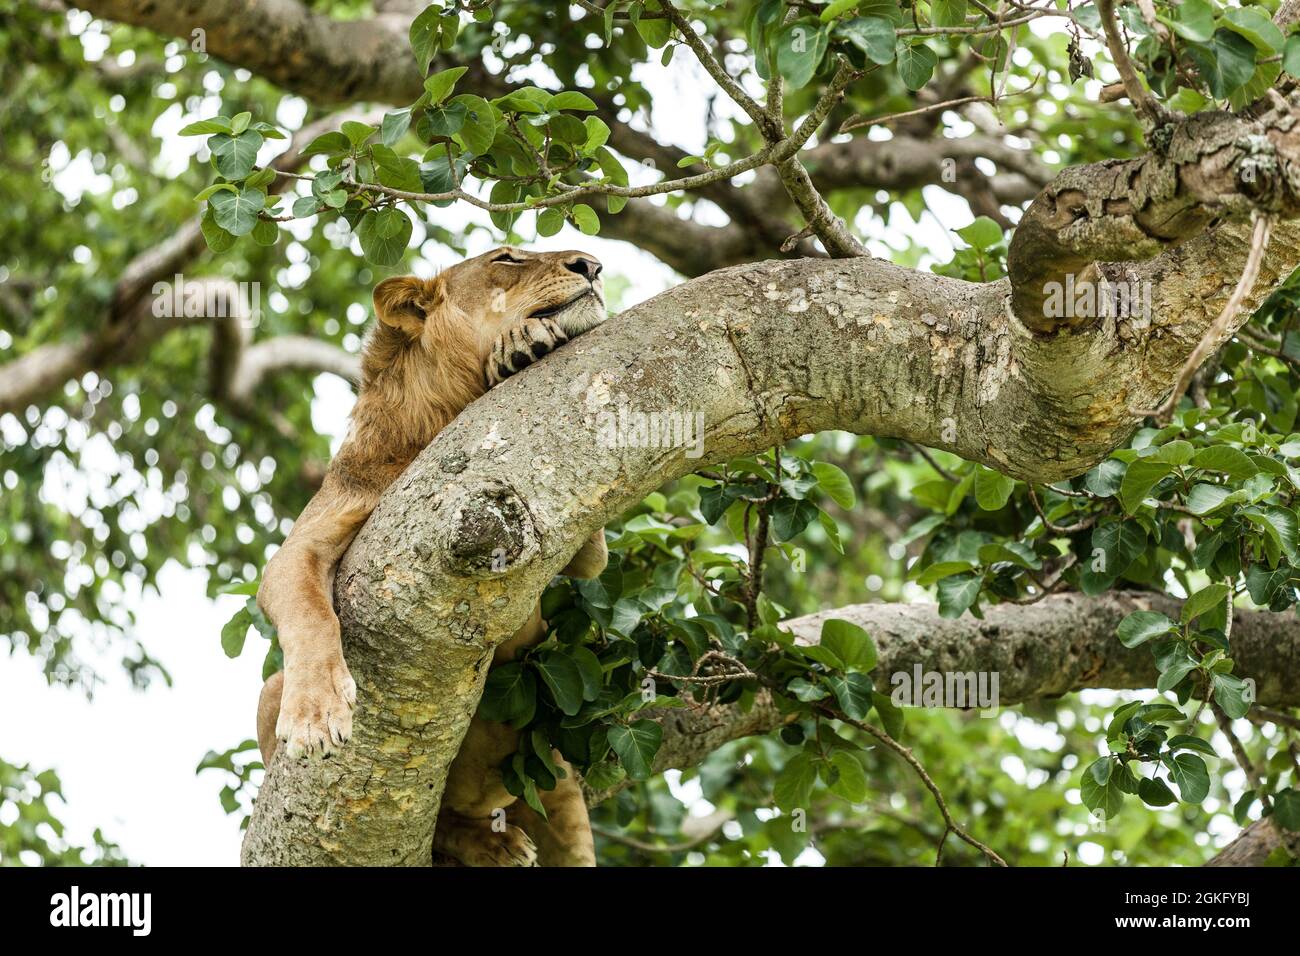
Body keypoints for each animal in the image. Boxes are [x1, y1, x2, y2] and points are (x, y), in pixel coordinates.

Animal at [253, 246, 609, 866]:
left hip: (561, 789)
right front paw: (317, 714)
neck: (446, 416)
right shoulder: (303, 546)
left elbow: (590, 555)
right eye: (507, 258)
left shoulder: (574, 536)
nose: (591, 264)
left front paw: (522, 348)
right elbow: (309, 614)